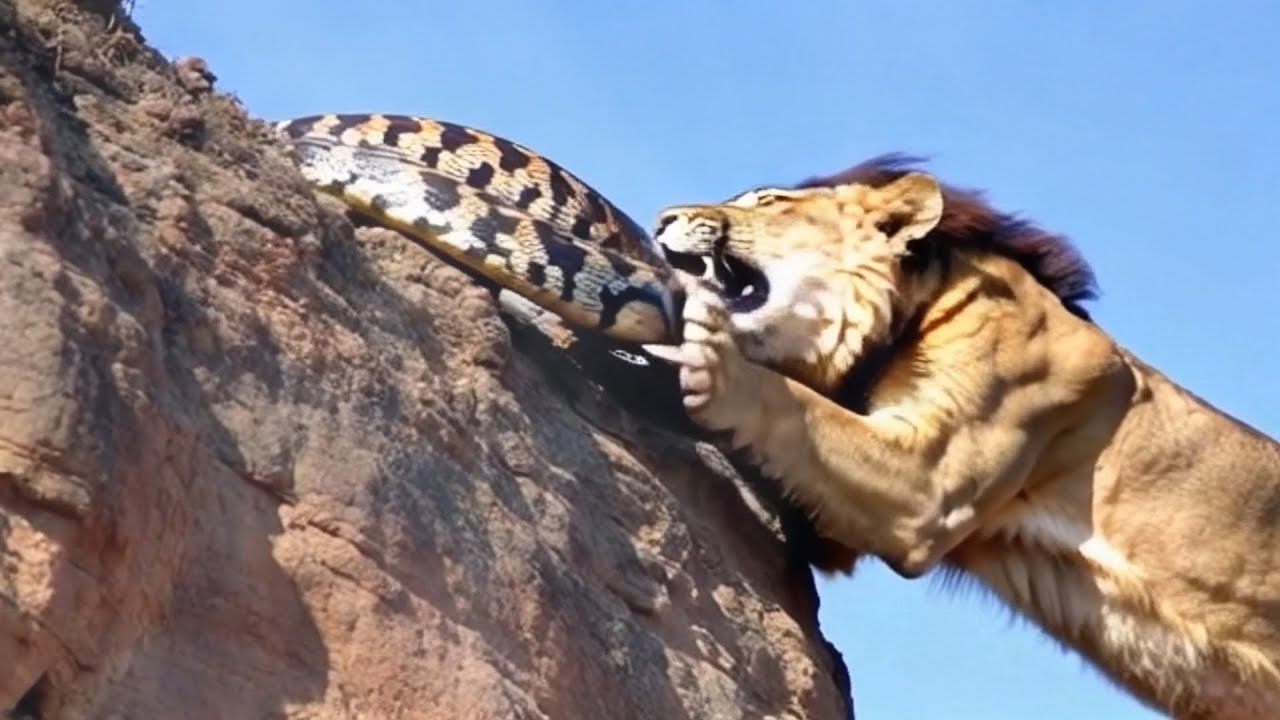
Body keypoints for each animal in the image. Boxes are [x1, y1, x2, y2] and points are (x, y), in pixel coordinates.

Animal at [640, 155, 1280, 719]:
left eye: (769, 201)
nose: (662, 219)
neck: (905, 314)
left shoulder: (931, 484)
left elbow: (789, 401)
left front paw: (708, 351)